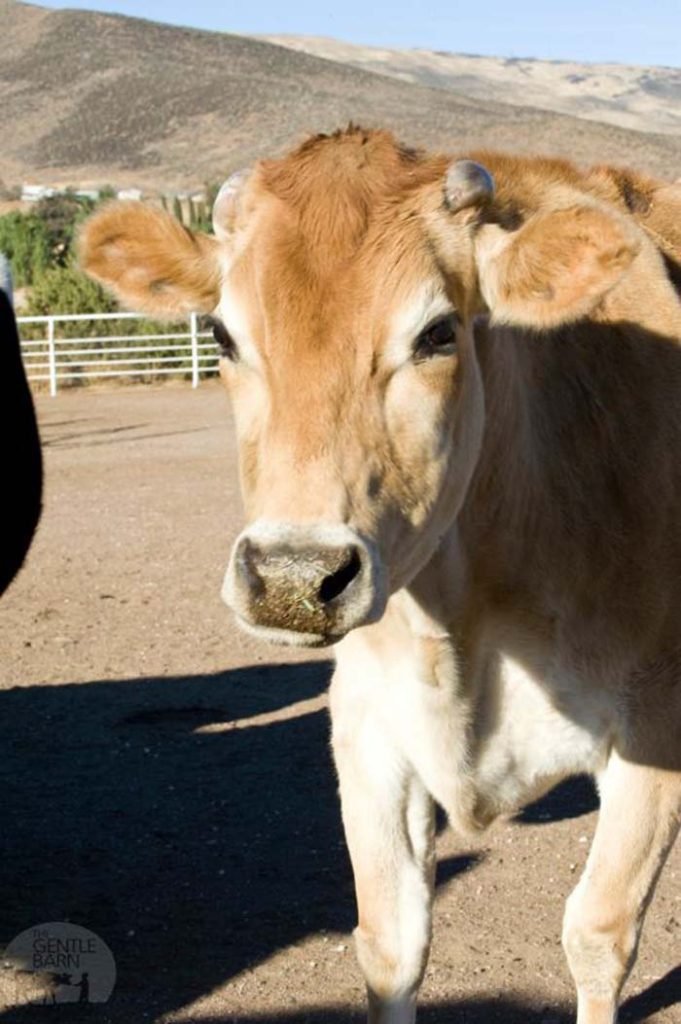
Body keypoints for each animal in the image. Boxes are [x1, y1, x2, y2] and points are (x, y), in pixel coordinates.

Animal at [79, 127, 681, 1024]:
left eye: (437, 333)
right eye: (220, 335)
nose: (294, 575)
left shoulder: (653, 728)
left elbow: (597, 933)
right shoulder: (365, 726)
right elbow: (391, 942)